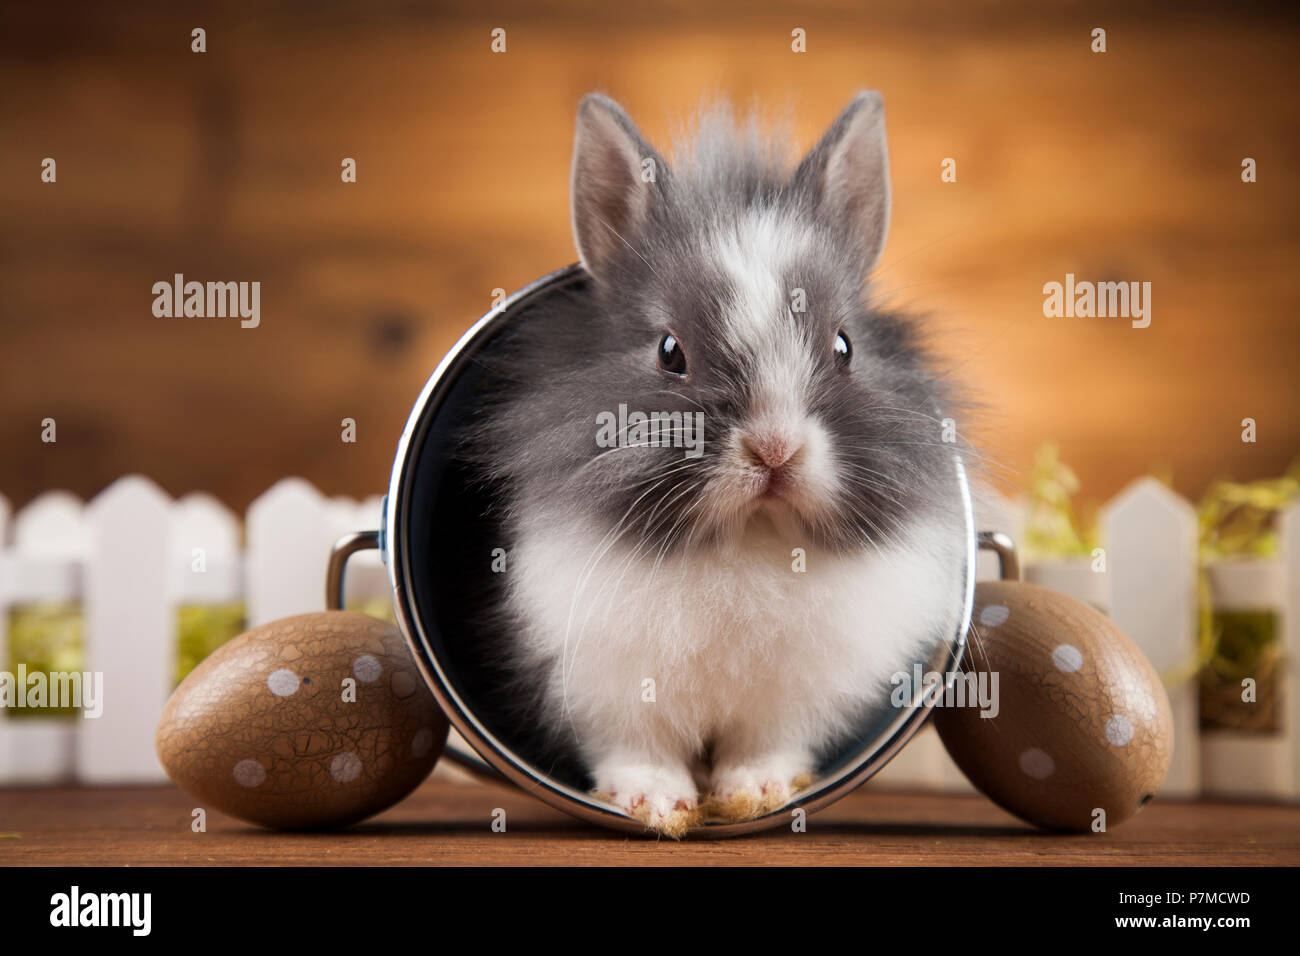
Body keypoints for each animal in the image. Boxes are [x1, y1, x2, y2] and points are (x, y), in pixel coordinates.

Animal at [460, 91, 970, 837]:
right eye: (670, 351)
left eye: (844, 345)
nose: (775, 448)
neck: (748, 537)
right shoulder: (603, 682)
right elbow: (637, 747)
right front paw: (655, 806)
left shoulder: (795, 696)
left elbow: (767, 744)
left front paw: (754, 794)